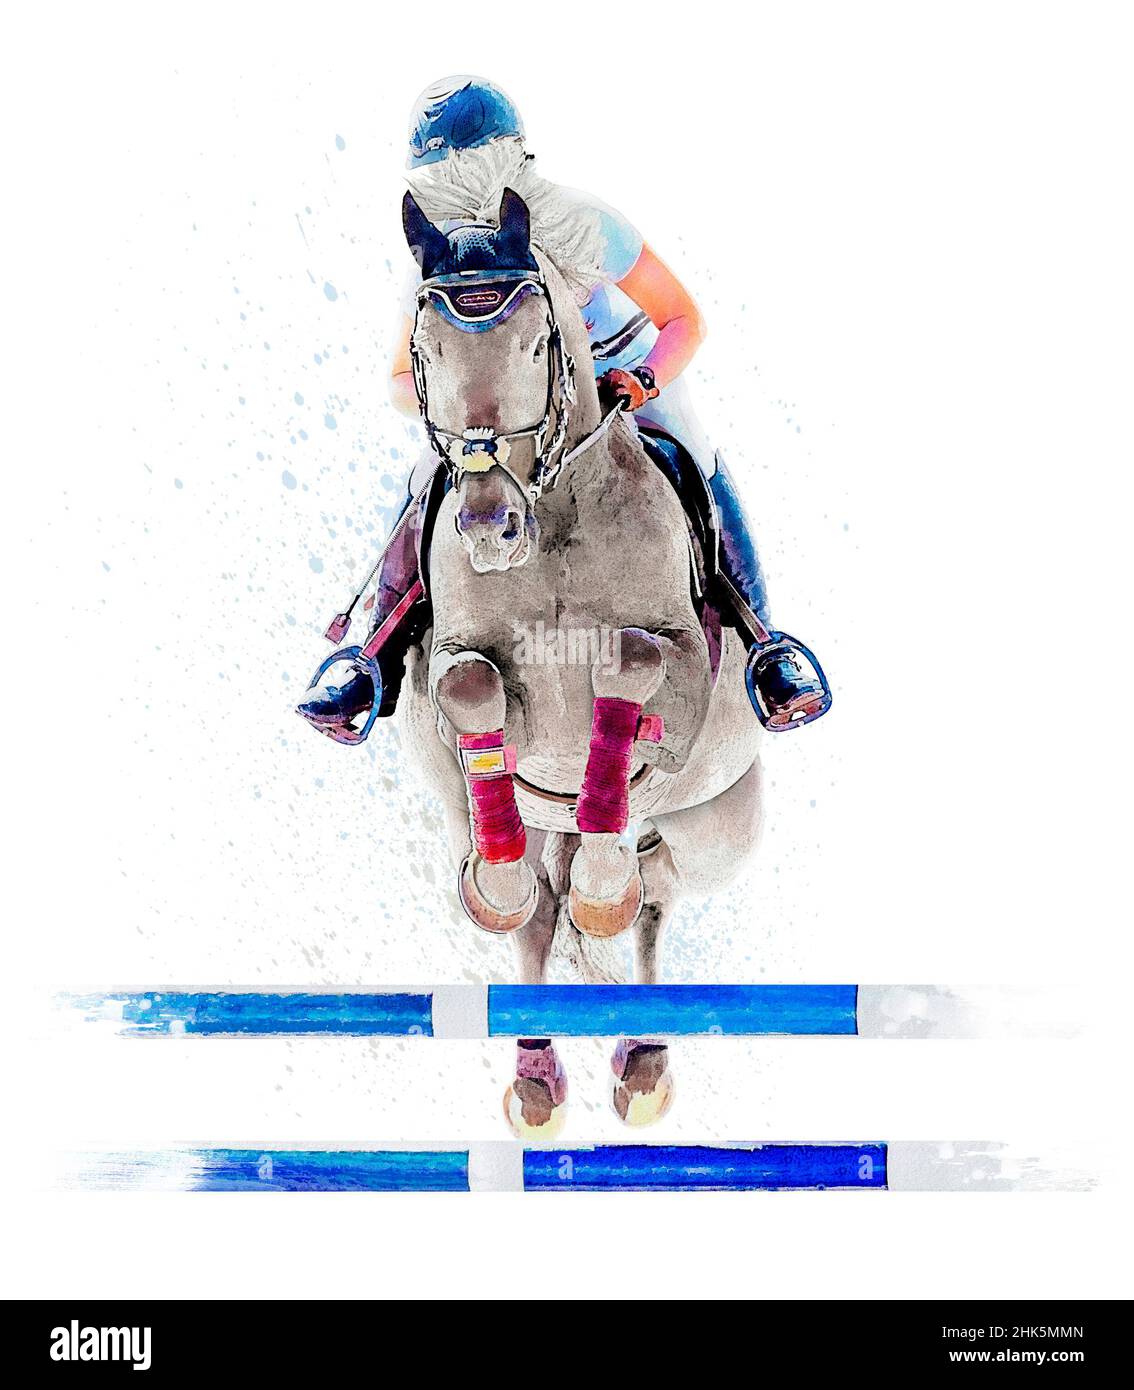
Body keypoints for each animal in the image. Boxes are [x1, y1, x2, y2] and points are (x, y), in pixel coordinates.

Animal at [396, 189, 765, 1135]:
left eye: (537, 343)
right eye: (426, 348)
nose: (488, 526)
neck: (553, 515)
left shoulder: (681, 672)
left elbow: (632, 669)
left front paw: (605, 882)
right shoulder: (458, 673)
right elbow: (471, 682)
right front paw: (500, 887)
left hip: (719, 830)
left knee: (653, 894)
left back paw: (643, 1054)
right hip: (487, 824)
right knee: (535, 907)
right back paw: (534, 1073)